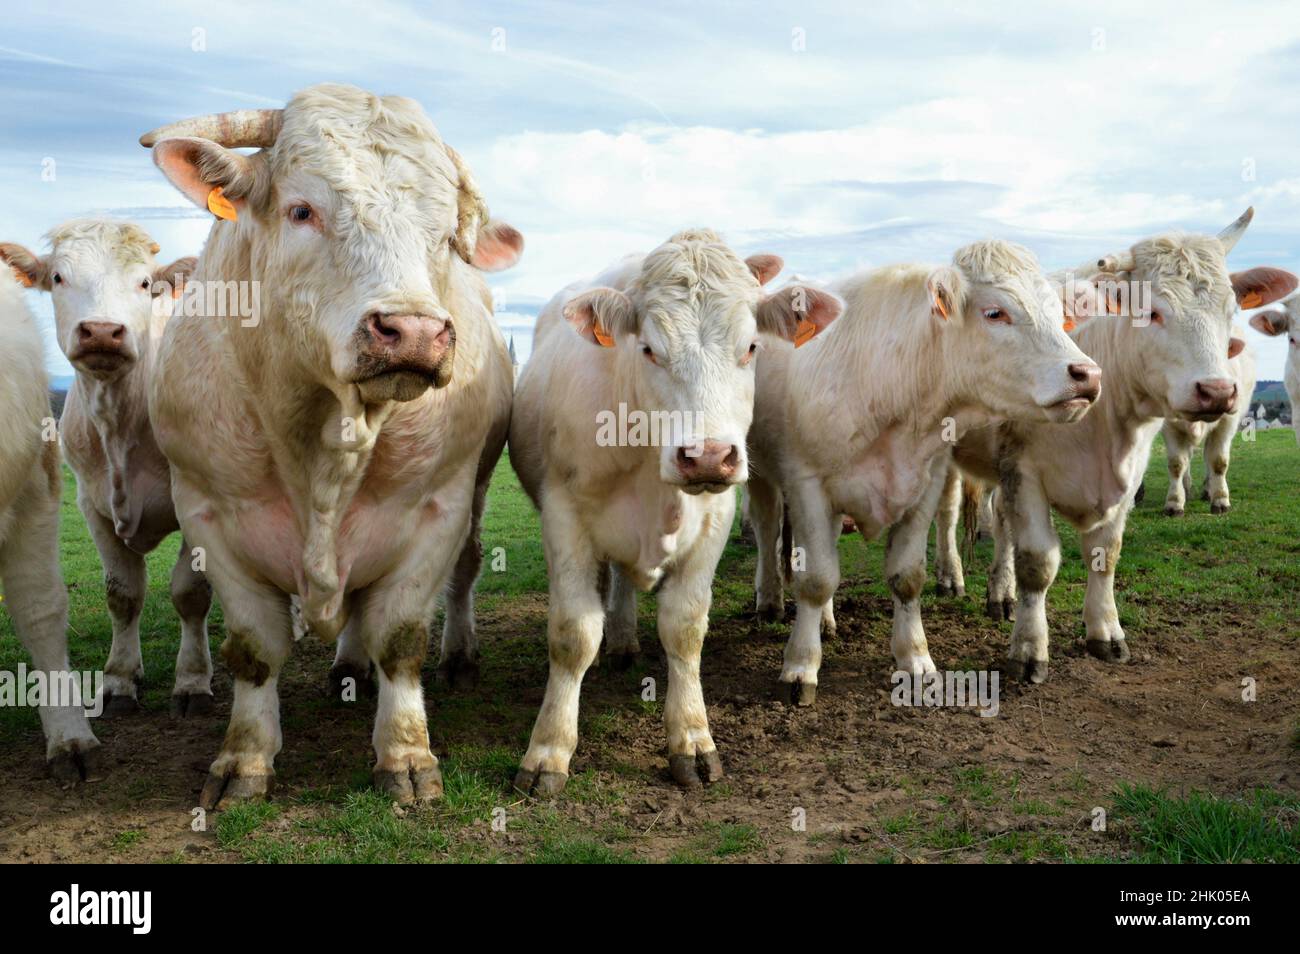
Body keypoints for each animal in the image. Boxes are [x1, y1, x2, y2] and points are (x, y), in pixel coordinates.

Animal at [1, 220, 212, 716]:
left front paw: (193, 681)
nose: (101, 331)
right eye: (58, 277)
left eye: (144, 283)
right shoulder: (92, 504)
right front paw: (119, 681)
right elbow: (122, 594)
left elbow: (190, 593)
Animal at [138, 84, 523, 808]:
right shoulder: (210, 515)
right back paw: (347, 665)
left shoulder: (437, 508)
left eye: (445, 238)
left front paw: (405, 755)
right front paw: (243, 761)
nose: (414, 332)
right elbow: (254, 650)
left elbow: (399, 637)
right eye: (302, 210)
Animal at [509, 230, 842, 794]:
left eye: (751, 347)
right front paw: (548, 750)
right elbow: (573, 634)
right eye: (648, 348)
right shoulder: (564, 517)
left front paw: (691, 738)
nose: (707, 456)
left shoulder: (714, 519)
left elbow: (684, 628)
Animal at [747, 240, 1101, 704]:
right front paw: (800, 666)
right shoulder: (807, 485)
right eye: (995, 312)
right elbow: (817, 578)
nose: (1087, 374)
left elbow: (907, 576)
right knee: (767, 527)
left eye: (1059, 315)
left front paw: (914, 657)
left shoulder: (926, 482)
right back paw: (770, 599)